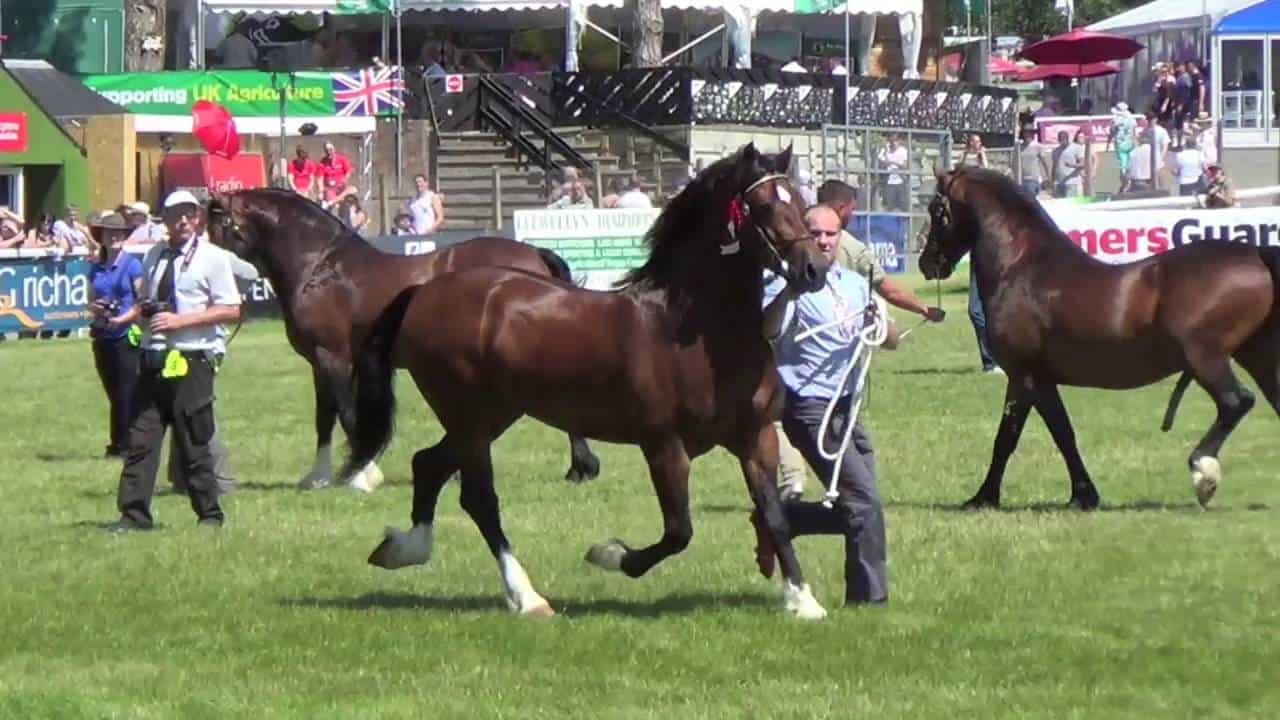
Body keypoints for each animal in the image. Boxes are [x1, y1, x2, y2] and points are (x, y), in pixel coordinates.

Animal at [205, 188, 601, 491]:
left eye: (215, 221)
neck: (320, 267)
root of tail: (535, 253)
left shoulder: (333, 356)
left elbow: (347, 415)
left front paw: (361, 475)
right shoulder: (319, 362)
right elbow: (324, 418)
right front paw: (317, 477)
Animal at [338, 143, 836, 618]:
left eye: (801, 201)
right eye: (764, 206)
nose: (815, 269)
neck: (694, 328)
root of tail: (425, 291)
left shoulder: (756, 437)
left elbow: (774, 516)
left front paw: (803, 601)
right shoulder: (664, 445)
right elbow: (679, 532)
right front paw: (610, 554)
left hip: (493, 414)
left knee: (429, 464)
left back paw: (403, 549)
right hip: (468, 416)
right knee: (479, 498)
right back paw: (526, 597)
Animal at [919, 165, 1280, 510]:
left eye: (936, 208)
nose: (926, 263)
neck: (1023, 268)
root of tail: (1256, 255)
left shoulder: (1026, 376)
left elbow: (1017, 437)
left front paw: (985, 497)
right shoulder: (1036, 380)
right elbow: (1053, 434)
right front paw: (1081, 495)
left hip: (1205, 357)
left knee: (1236, 402)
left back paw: (1203, 473)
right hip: (1257, 358)